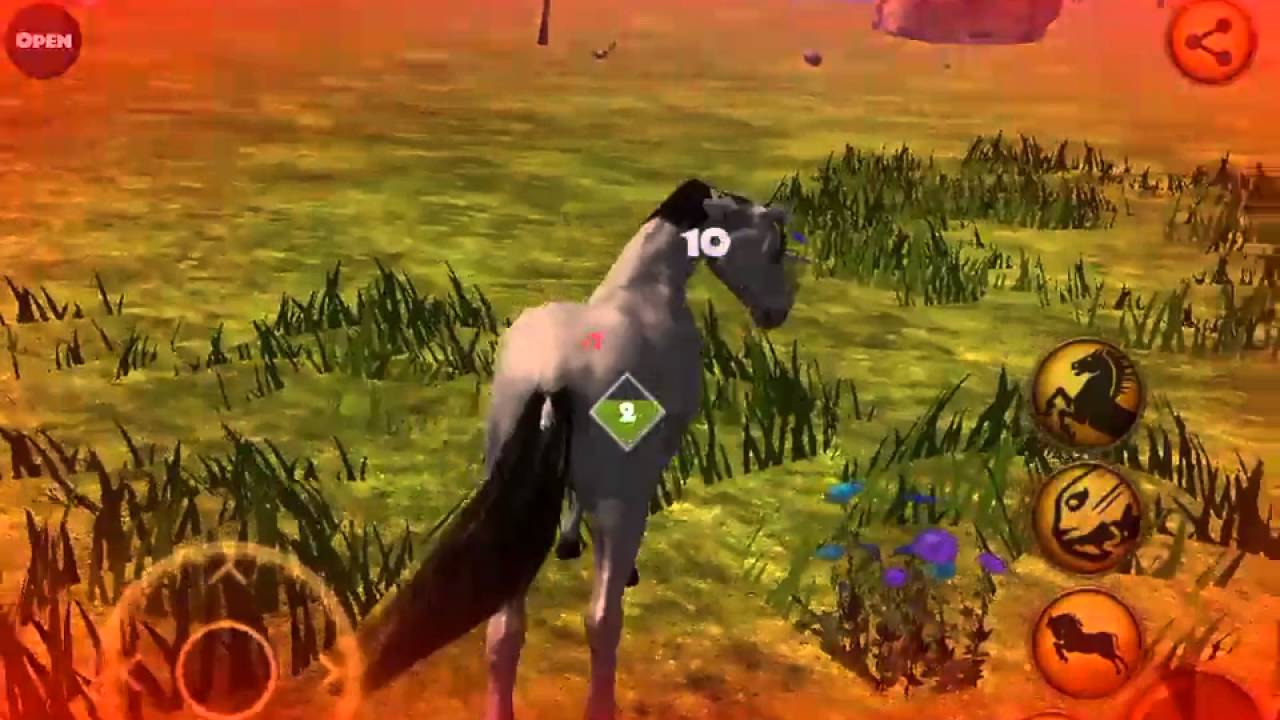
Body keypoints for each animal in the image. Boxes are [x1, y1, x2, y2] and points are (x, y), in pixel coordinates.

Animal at [354, 178, 801, 720]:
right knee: (602, 621)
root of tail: (554, 372)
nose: (777, 313)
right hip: (616, 507)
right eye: (774, 249)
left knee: (504, 630)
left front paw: (567, 540)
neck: (643, 290)